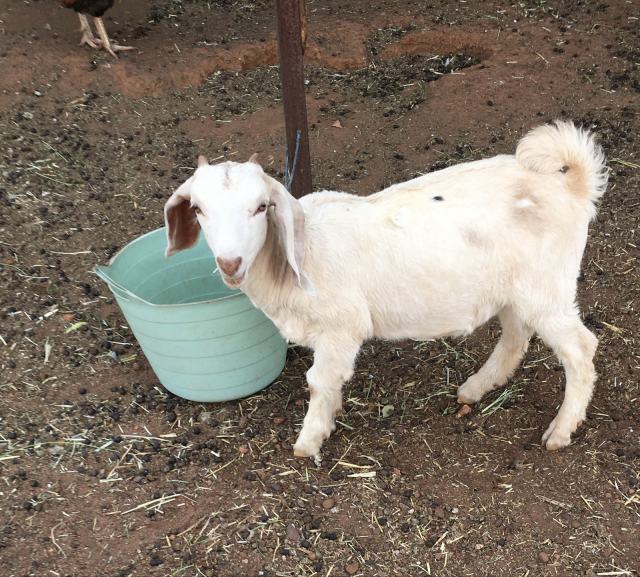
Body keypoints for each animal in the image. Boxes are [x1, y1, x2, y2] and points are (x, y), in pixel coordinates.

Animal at [164, 121, 608, 458]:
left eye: (260, 207)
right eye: (198, 209)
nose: (230, 263)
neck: (303, 254)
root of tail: (574, 185)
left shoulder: (341, 328)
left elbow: (319, 381)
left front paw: (308, 441)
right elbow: (330, 383)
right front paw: (327, 421)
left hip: (546, 286)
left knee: (580, 348)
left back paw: (561, 430)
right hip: (515, 289)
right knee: (517, 336)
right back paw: (474, 389)